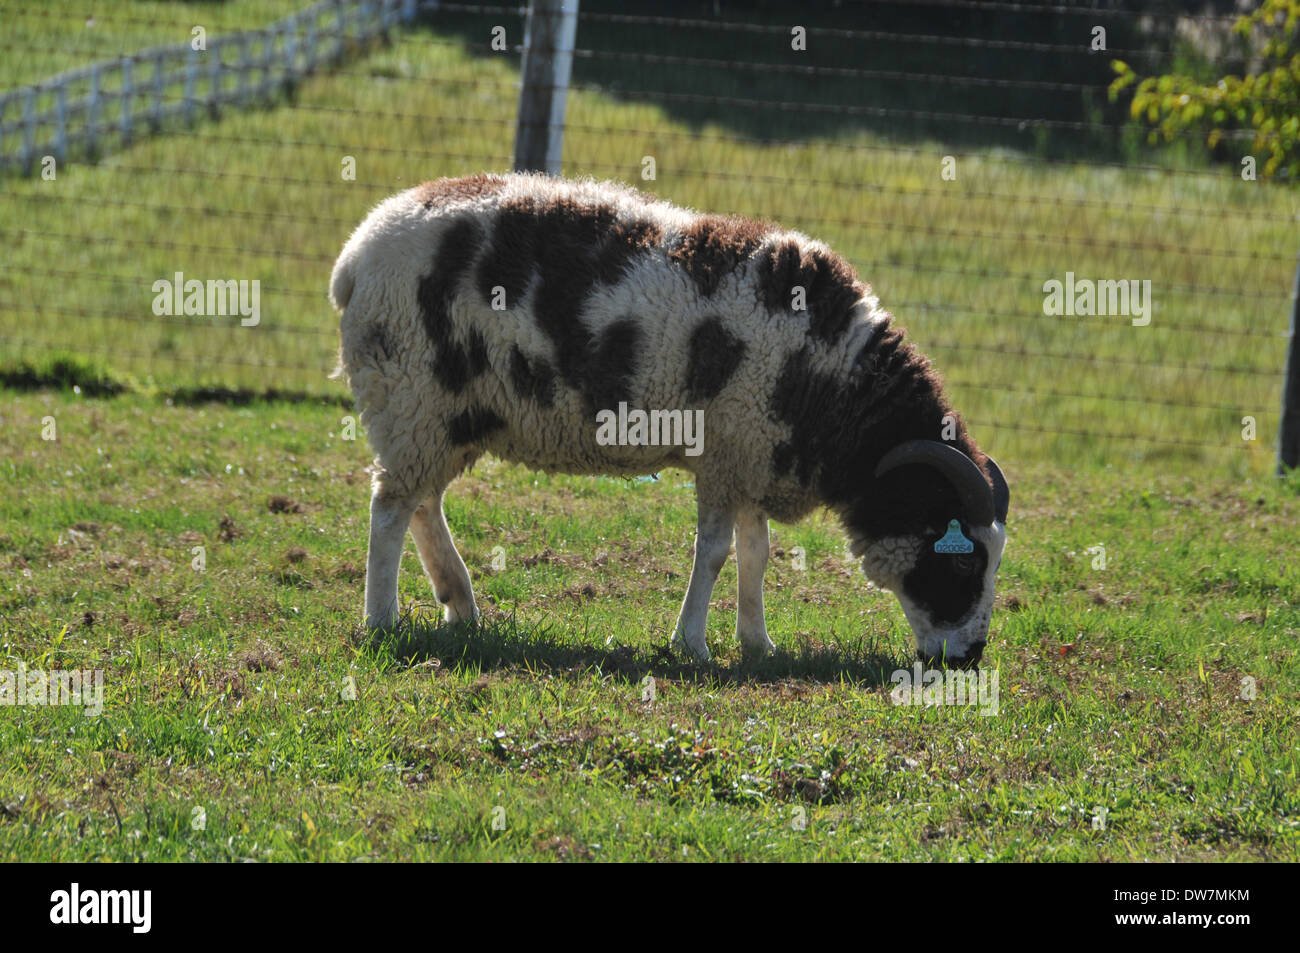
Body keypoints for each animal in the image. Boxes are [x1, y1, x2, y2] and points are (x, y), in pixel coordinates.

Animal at [329, 173, 1010, 668]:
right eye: (962, 560)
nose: (971, 658)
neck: (833, 382)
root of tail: (354, 255)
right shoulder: (725, 454)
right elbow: (713, 554)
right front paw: (693, 645)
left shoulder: (751, 454)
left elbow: (756, 552)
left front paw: (758, 645)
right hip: (413, 397)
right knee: (389, 509)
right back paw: (383, 620)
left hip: (442, 418)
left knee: (422, 503)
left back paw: (461, 607)